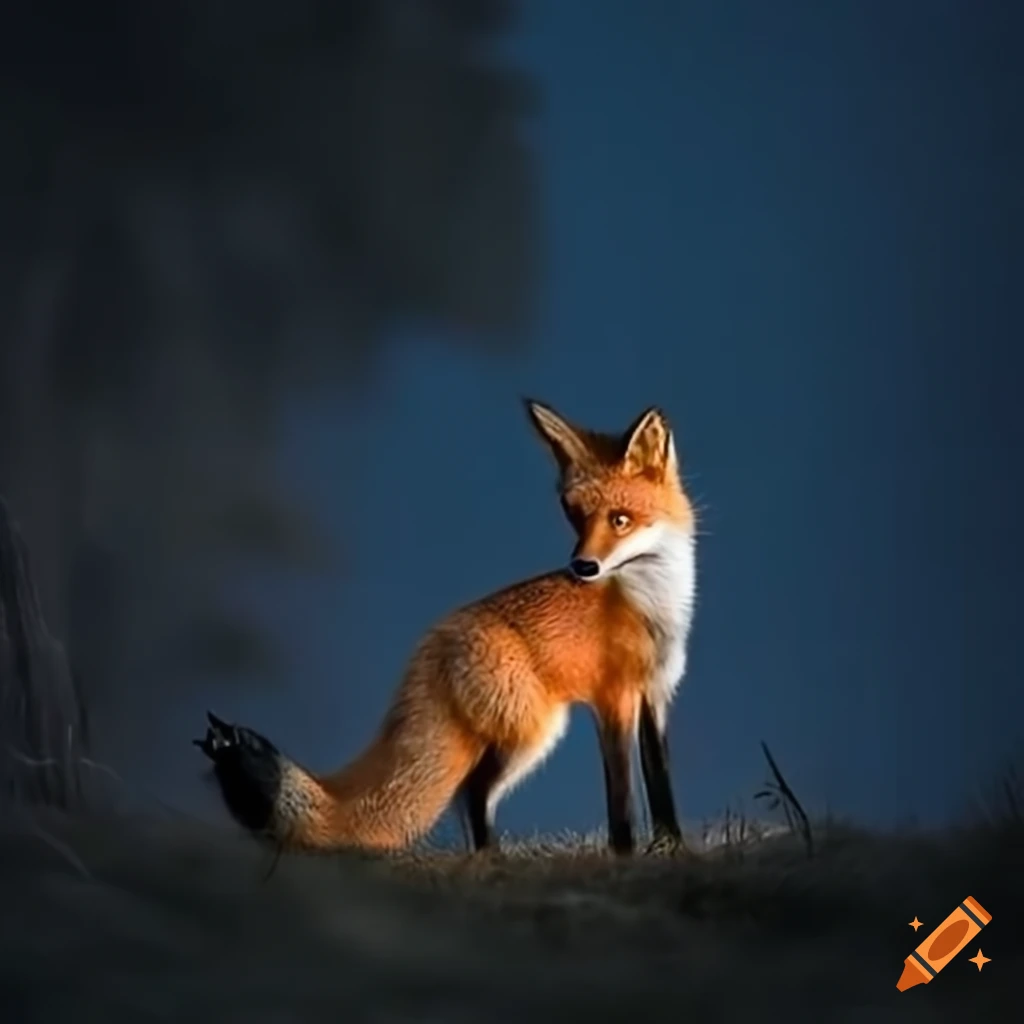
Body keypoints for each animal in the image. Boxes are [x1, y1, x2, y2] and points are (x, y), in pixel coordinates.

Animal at [195, 400, 697, 855]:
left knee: (469, 796)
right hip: (533, 732)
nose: (582, 568)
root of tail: (435, 637)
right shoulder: (613, 699)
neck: (649, 602)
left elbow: (660, 780)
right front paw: (625, 855)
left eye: (620, 520)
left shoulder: (654, 695)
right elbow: (622, 793)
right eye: (575, 519)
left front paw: (670, 848)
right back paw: (489, 862)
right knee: (471, 793)